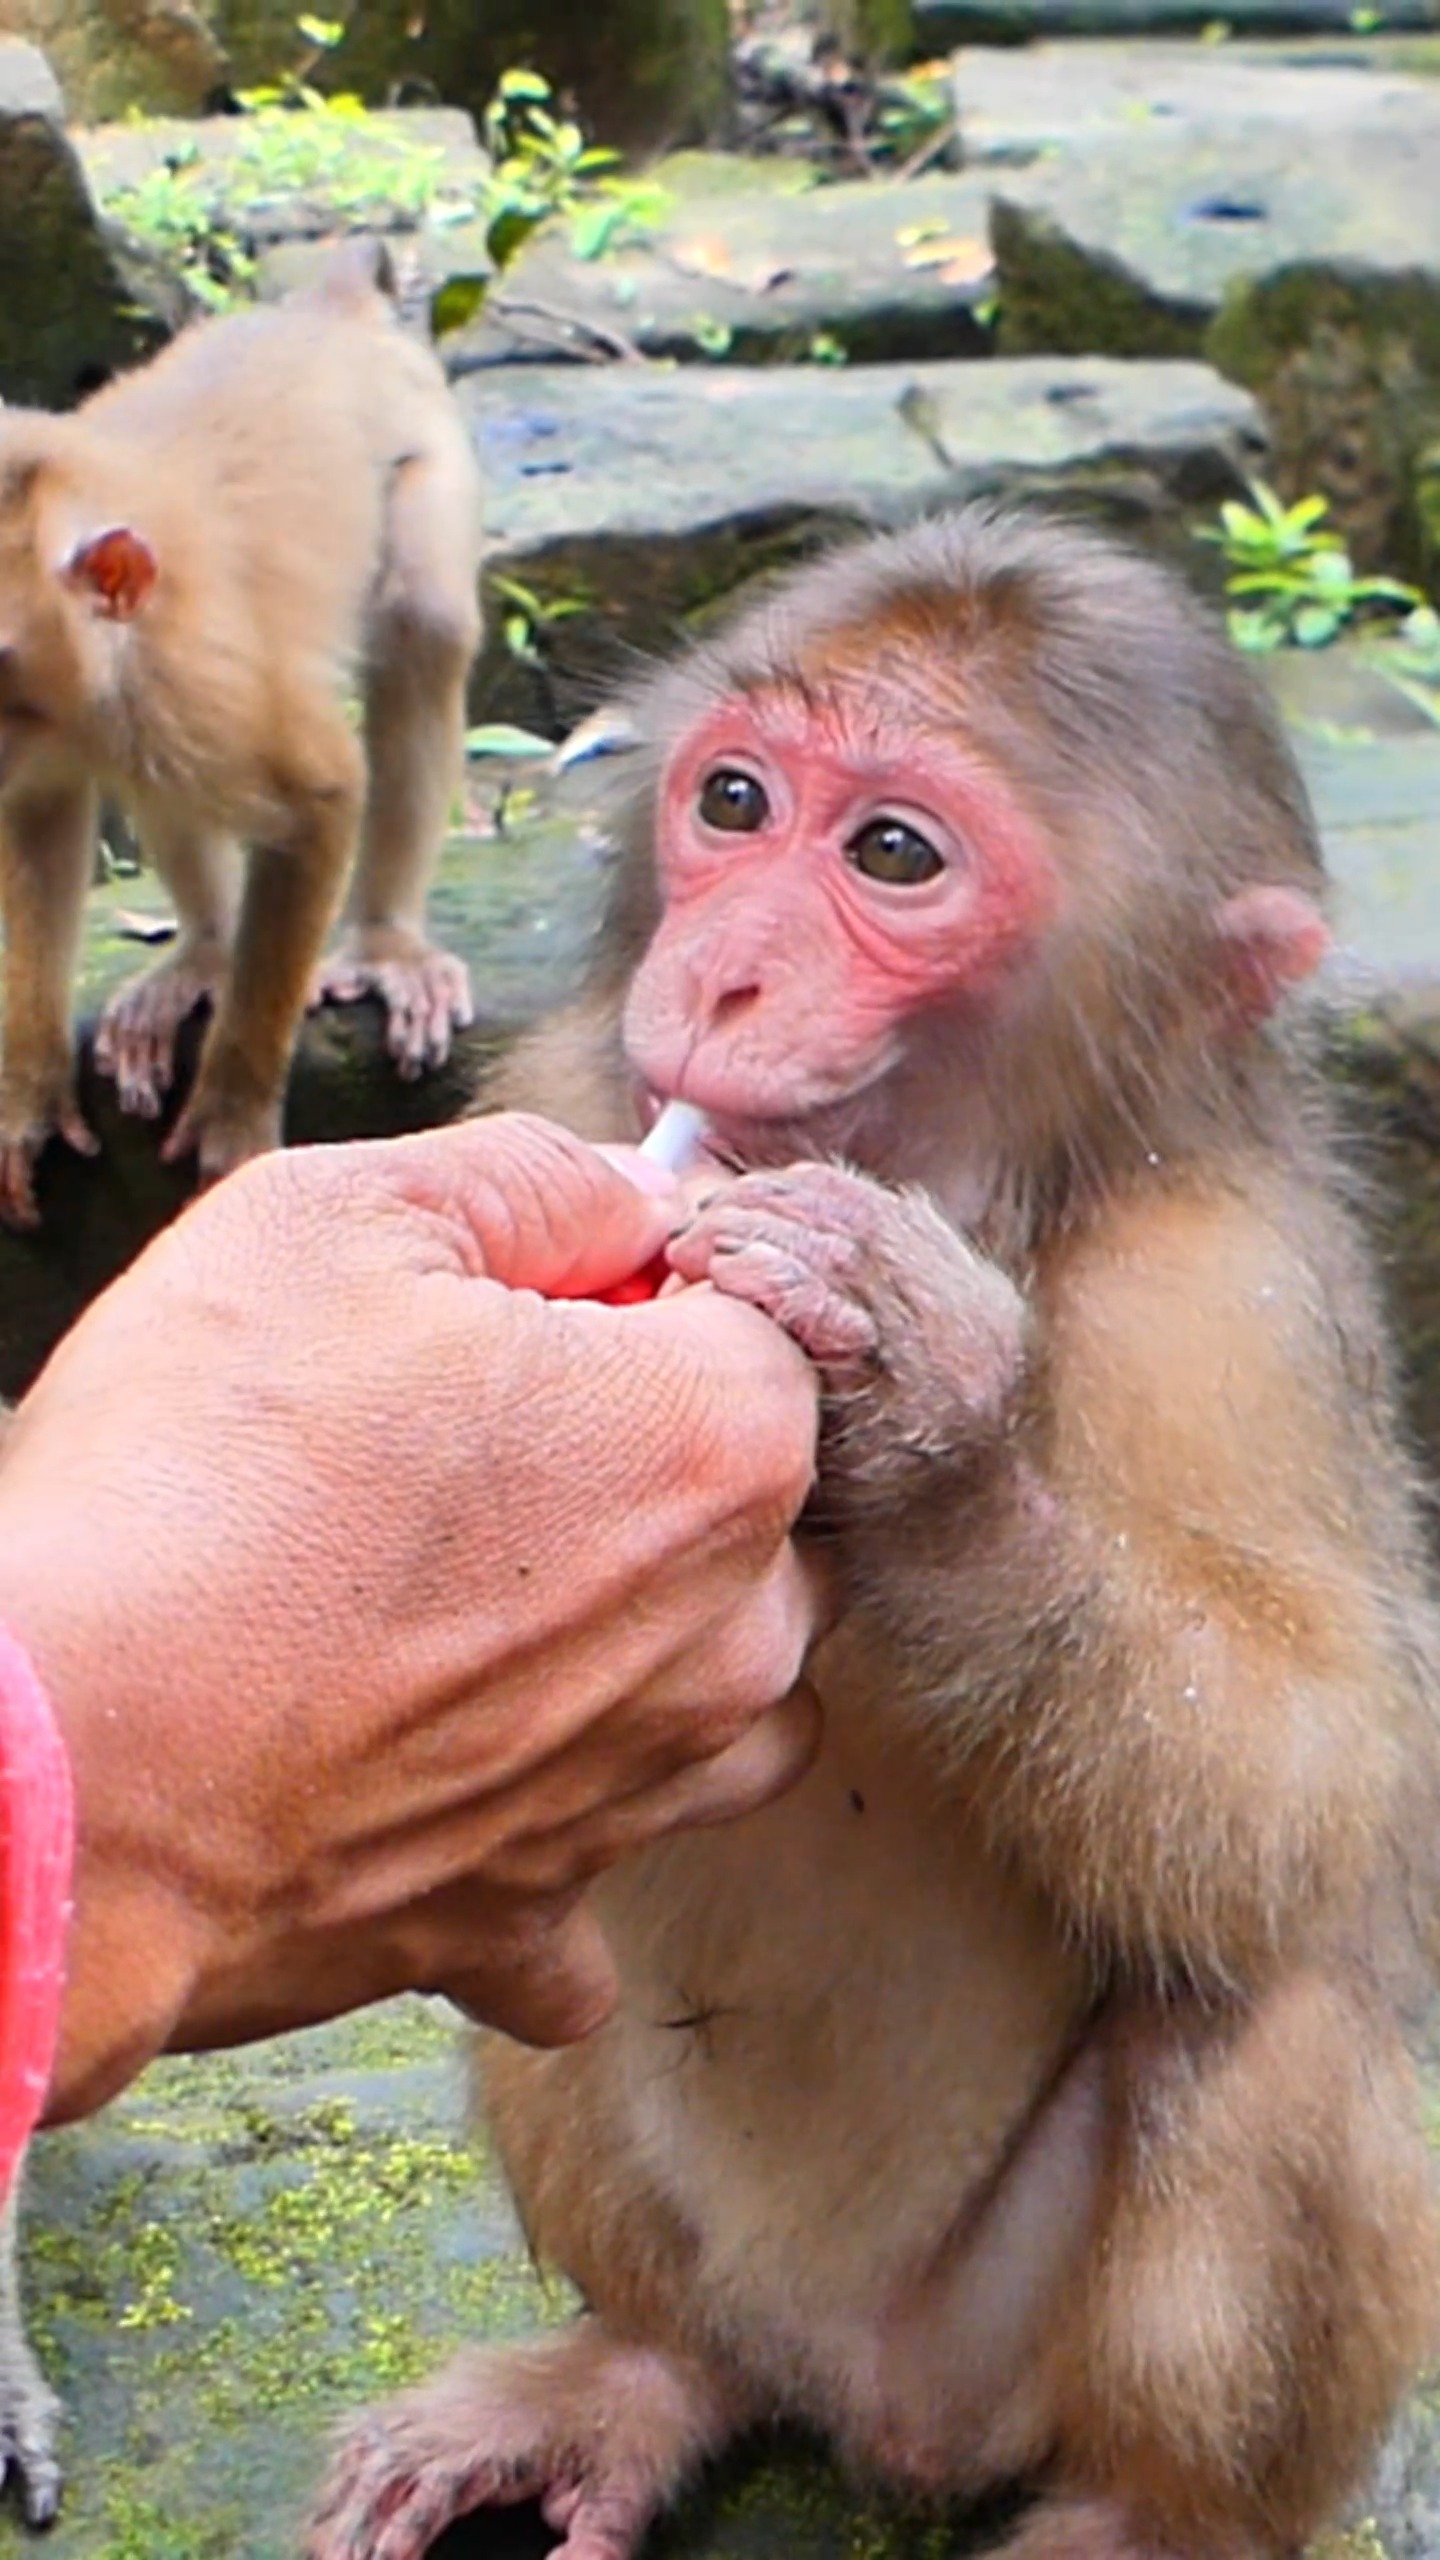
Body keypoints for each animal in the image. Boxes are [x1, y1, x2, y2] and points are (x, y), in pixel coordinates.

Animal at [0, 235, 483, 1229]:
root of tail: (328, 312)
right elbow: (41, 821)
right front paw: (26, 1091)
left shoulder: (196, 685)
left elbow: (323, 793)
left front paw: (235, 1111)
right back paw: (208, 953)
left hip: (426, 453)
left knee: (422, 624)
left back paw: (384, 946)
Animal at [307, 507, 1440, 2560]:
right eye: (734, 802)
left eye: (894, 856)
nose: (720, 982)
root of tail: (860, 2395)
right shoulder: (564, 1101)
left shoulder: (1221, 1289)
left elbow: (1333, 1790)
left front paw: (929, 1441)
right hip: (730, 2272)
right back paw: (637, 2376)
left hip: (996, 2350)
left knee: (1276, 2015)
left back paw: (1145, 2519)